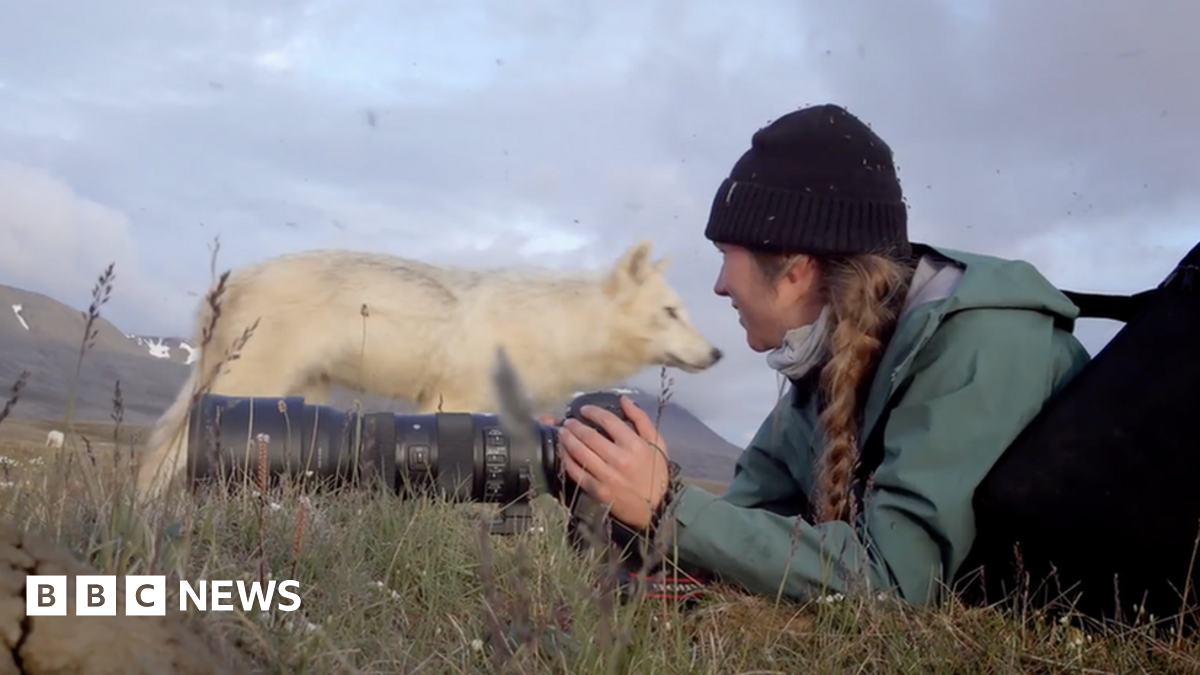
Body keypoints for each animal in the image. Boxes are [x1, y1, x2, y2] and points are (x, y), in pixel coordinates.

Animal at [135, 240, 723, 502]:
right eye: (671, 312)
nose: (717, 353)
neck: (559, 327)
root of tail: (227, 281)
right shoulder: (450, 404)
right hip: (247, 388)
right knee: (168, 447)